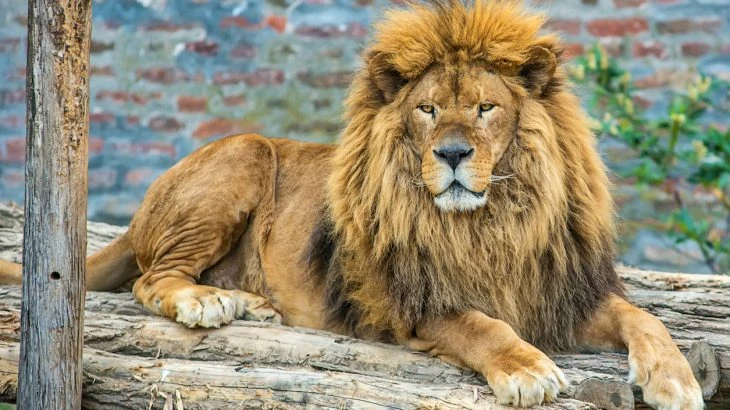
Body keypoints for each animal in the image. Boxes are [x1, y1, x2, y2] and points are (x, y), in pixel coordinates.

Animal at [0, 0, 703, 408]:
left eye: (484, 107)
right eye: (427, 109)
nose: (452, 153)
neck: (488, 224)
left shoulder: (559, 291)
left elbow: (644, 317)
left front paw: (676, 381)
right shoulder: (414, 303)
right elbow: (482, 325)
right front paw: (528, 369)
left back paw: (252, 303)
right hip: (244, 153)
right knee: (152, 277)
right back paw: (209, 302)